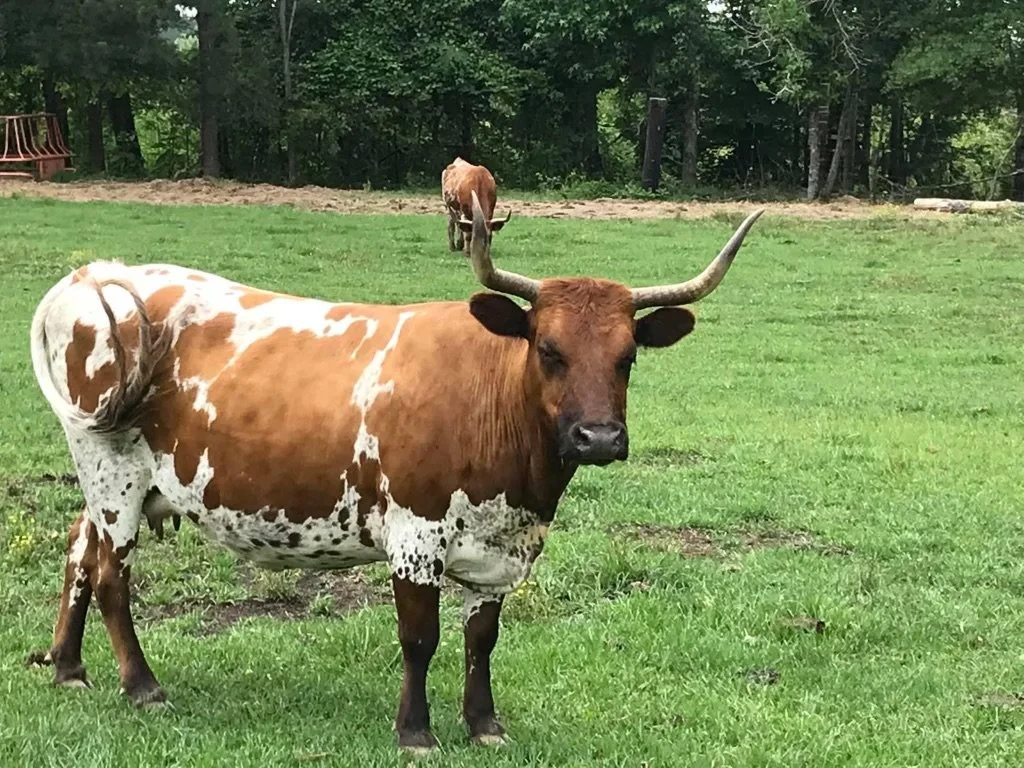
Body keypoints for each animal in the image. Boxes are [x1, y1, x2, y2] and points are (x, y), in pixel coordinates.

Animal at [27, 194, 762, 752]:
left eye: (628, 356)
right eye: (548, 350)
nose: (600, 438)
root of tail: (89, 275)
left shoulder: (500, 547)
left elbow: (482, 639)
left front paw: (484, 724)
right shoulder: (416, 532)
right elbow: (420, 637)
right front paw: (415, 732)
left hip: (118, 483)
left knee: (77, 548)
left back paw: (68, 666)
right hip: (113, 472)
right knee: (110, 575)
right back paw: (142, 686)